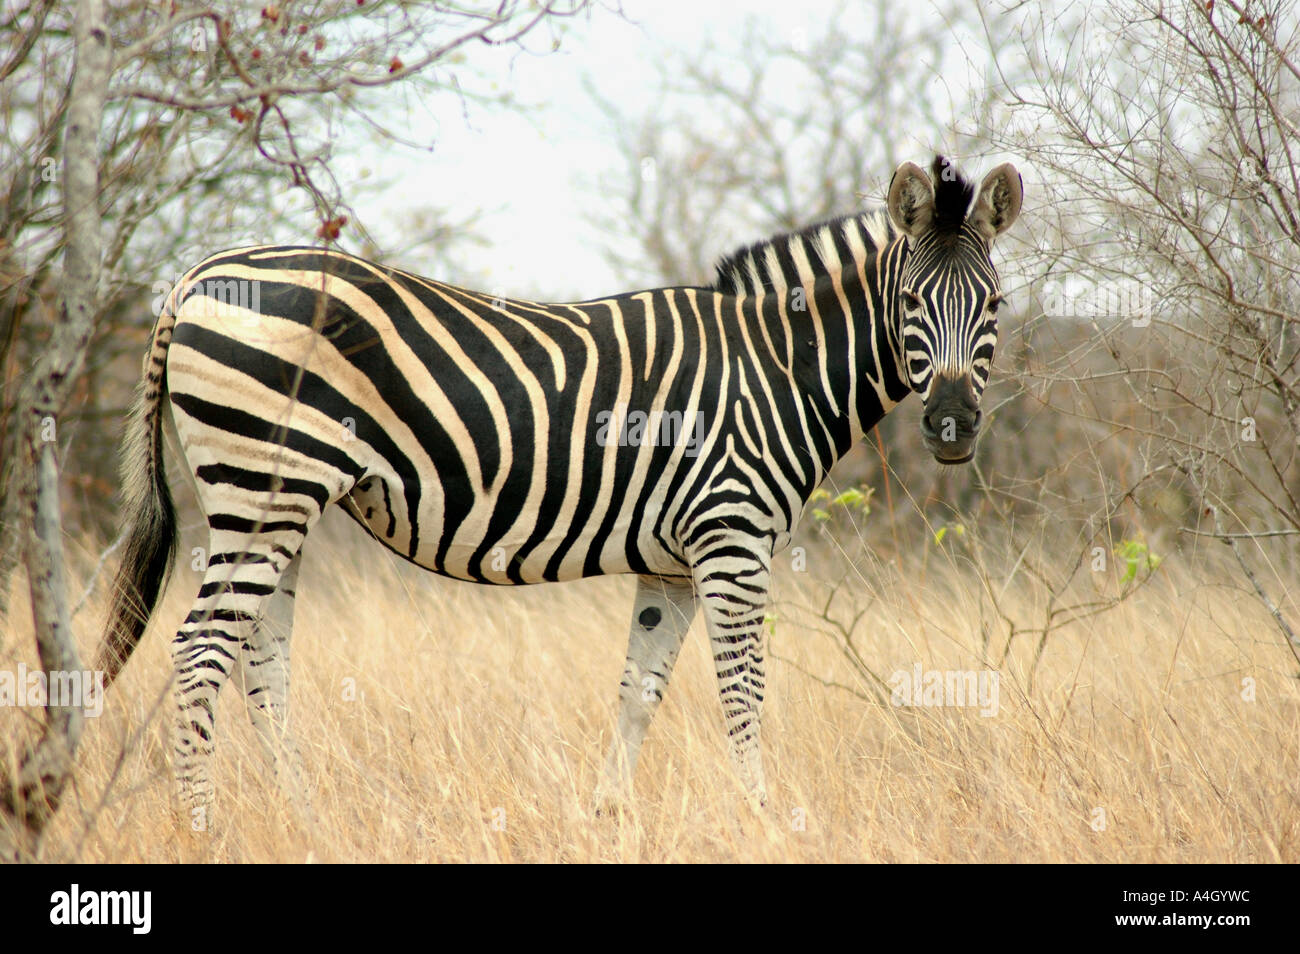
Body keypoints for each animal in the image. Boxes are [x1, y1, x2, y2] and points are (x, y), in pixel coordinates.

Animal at [97, 155, 1022, 817]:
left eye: (996, 307)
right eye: (910, 303)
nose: (949, 425)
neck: (774, 367)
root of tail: (197, 275)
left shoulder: (673, 565)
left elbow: (639, 693)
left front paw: (607, 820)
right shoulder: (731, 540)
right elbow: (743, 691)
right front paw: (764, 819)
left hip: (272, 504)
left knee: (261, 664)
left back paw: (304, 820)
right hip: (263, 487)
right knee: (199, 653)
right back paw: (202, 828)